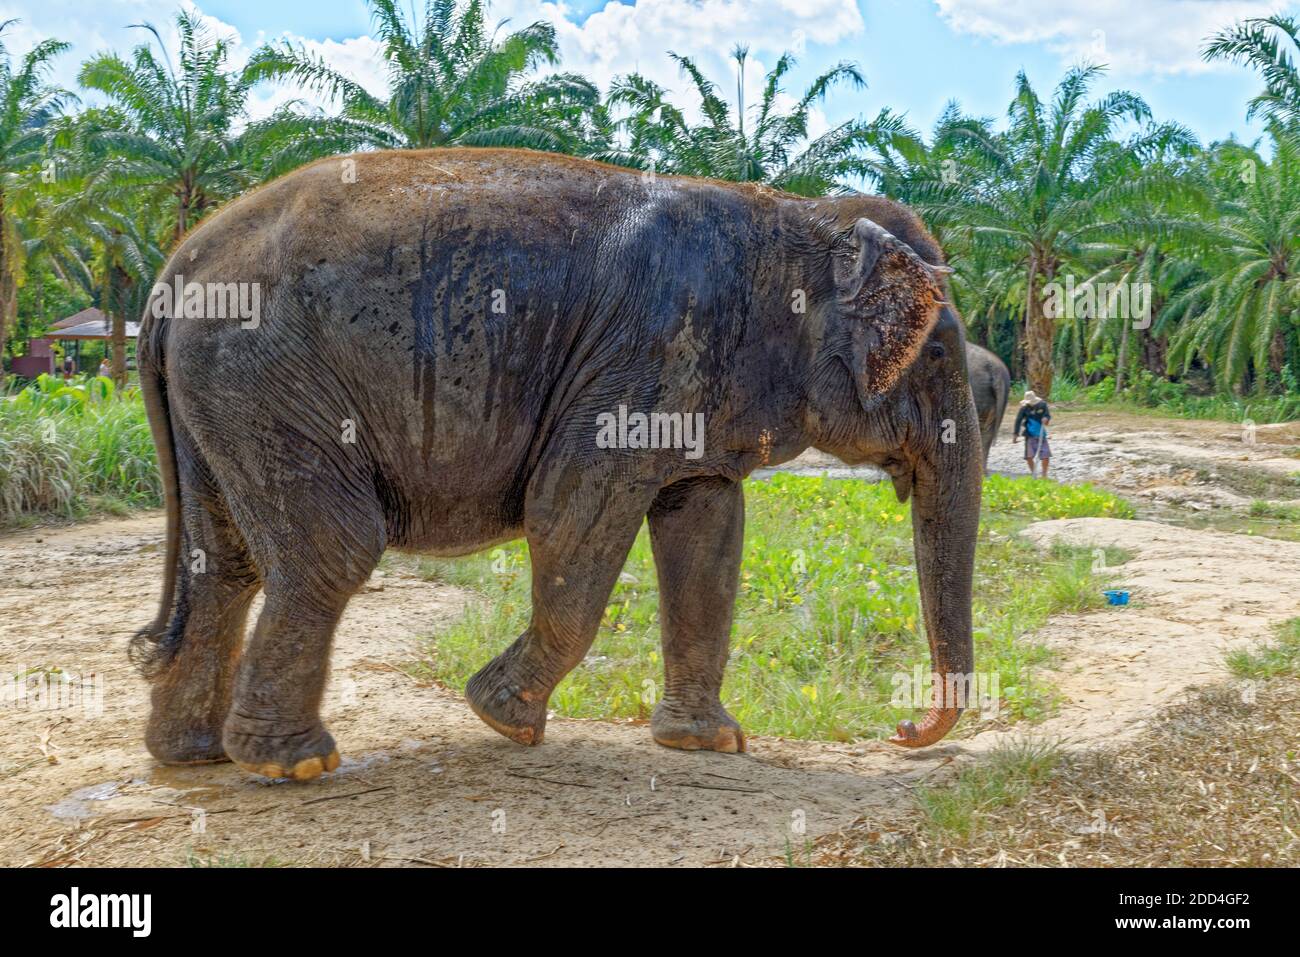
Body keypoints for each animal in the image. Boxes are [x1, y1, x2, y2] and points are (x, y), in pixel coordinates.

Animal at [130, 148, 983, 781]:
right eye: (937, 350)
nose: (902, 727)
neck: (799, 212)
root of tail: (175, 268)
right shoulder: (642, 358)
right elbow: (571, 510)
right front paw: (502, 716)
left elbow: (707, 533)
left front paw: (709, 742)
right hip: (264, 373)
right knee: (330, 549)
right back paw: (294, 765)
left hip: (221, 398)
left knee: (225, 561)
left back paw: (194, 756)